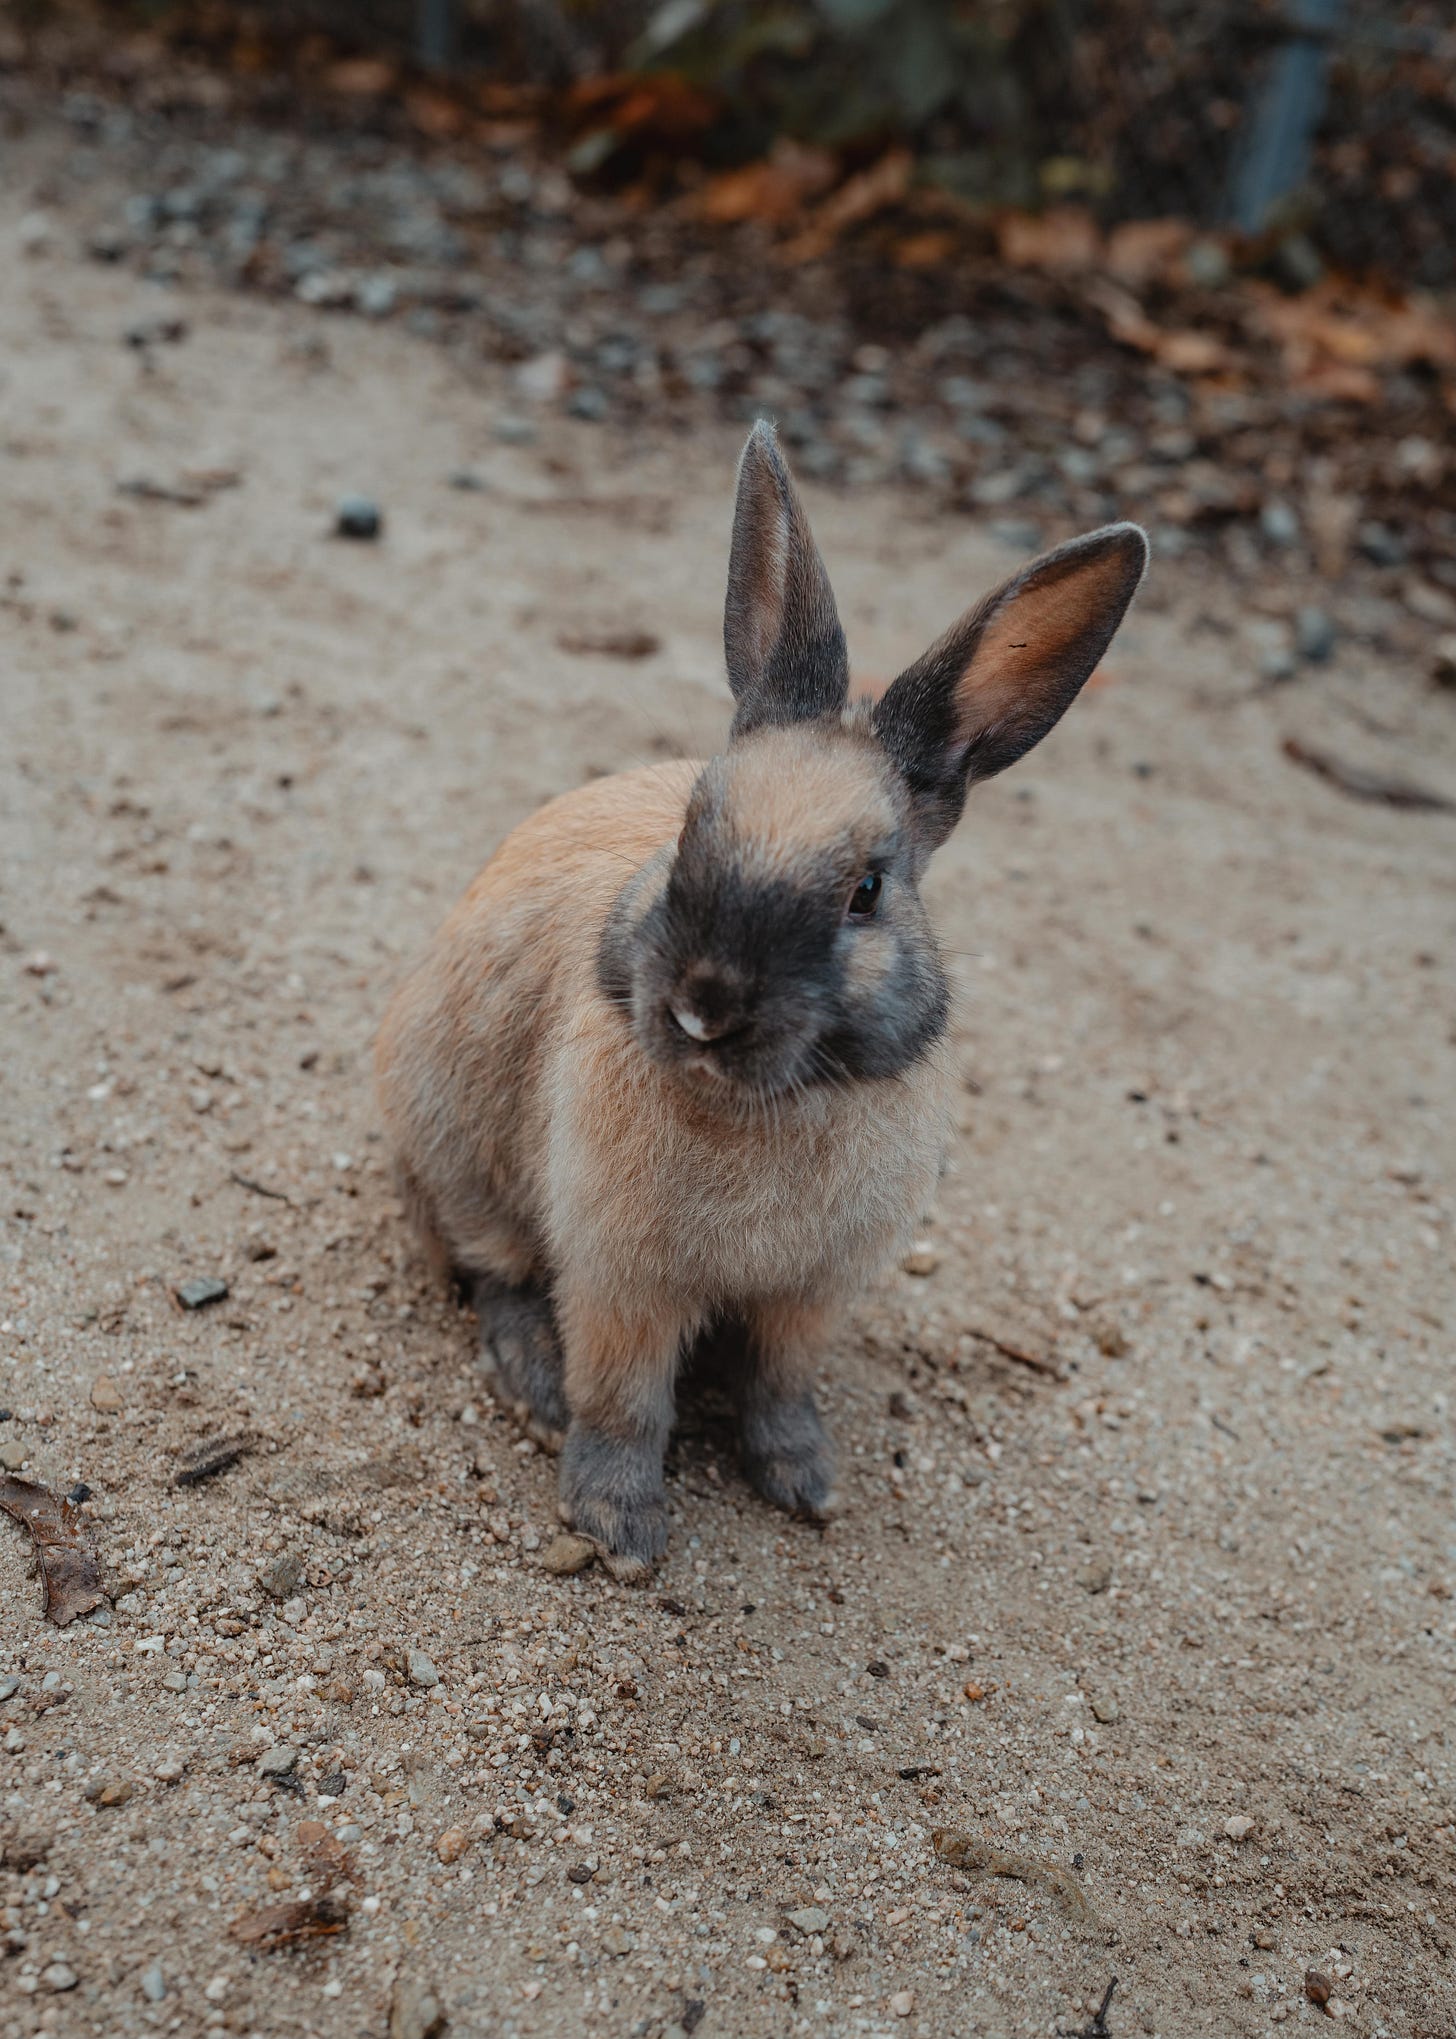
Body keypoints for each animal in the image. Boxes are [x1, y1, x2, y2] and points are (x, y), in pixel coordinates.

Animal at [375, 421, 1147, 1577]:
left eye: (868, 888)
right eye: (691, 827)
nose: (704, 1002)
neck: (763, 1103)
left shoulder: (811, 1295)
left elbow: (779, 1388)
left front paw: (806, 1485)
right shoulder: (620, 1281)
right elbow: (625, 1403)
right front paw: (620, 1530)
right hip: (457, 1147)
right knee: (492, 1270)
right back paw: (534, 1387)